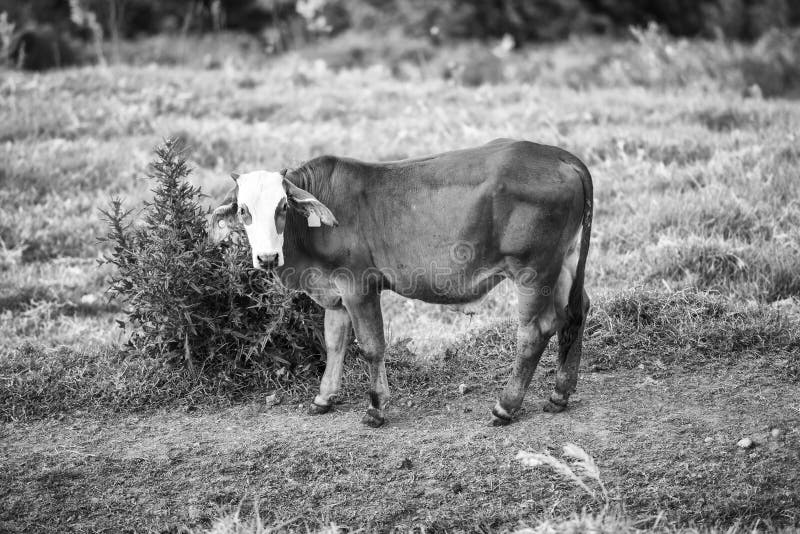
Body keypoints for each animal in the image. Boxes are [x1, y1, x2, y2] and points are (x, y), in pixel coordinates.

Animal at [210, 139, 592, 427]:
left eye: (282, 207)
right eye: (243, 210)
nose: (267, 258)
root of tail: (563, 157)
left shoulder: (358, 285)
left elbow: (370, 346)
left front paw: (376, 407)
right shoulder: (335, 293)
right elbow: (334, 343)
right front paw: (324, 397)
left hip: (533, 270)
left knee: (535, 331)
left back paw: (506, 405)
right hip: (565, 264)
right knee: (576, 312)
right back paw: (560, 393)